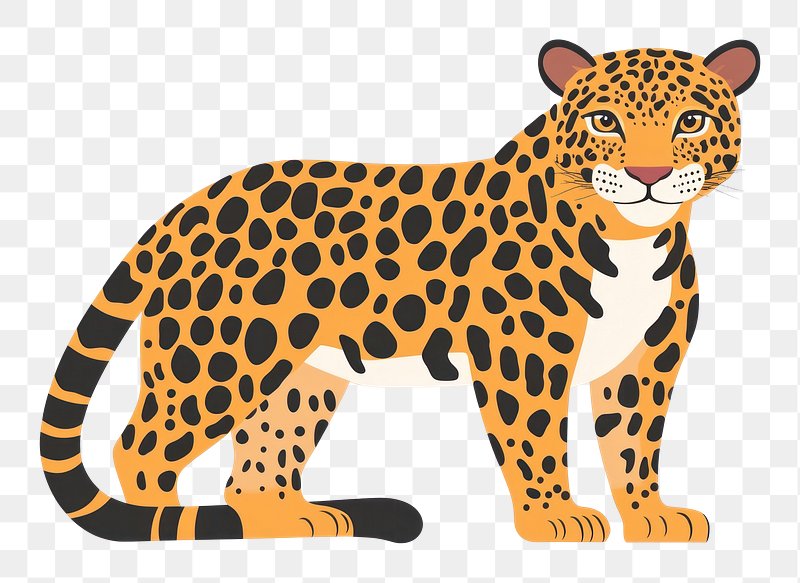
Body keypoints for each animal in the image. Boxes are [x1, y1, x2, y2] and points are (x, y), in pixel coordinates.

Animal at [41, 39, 759, 543]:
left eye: (692, 121)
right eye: (605, 121)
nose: (649, 173)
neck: (634, 236)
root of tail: (186, 206)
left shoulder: (646, 358)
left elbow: (635, 442)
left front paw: (651, 517)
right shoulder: (523, 354)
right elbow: (534, 438)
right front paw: (554, 517)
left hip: (299, 375)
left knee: (255, 466)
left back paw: (289, 521)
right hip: (218, 359)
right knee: (140, 447)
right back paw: (165, 528)